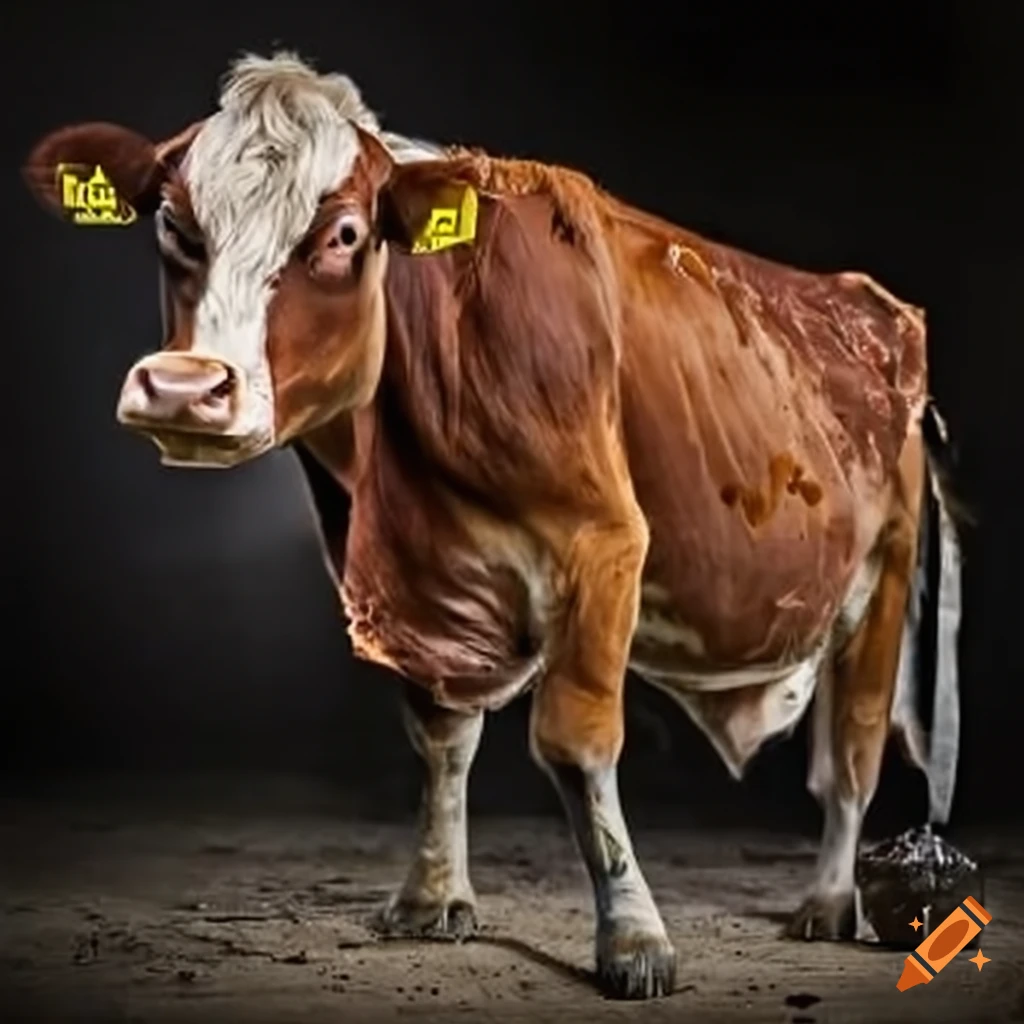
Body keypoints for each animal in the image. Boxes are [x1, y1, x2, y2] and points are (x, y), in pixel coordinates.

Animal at [23, 52, 963, 1001]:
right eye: (173, 223)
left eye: (345, 235)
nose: (184, 388)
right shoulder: (417, 582)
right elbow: (442, 739)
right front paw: (432, 897)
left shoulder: (606, 542)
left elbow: (577, 741)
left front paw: (634, 938)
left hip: (886, 575)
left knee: (852, 755)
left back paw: (828, 901)